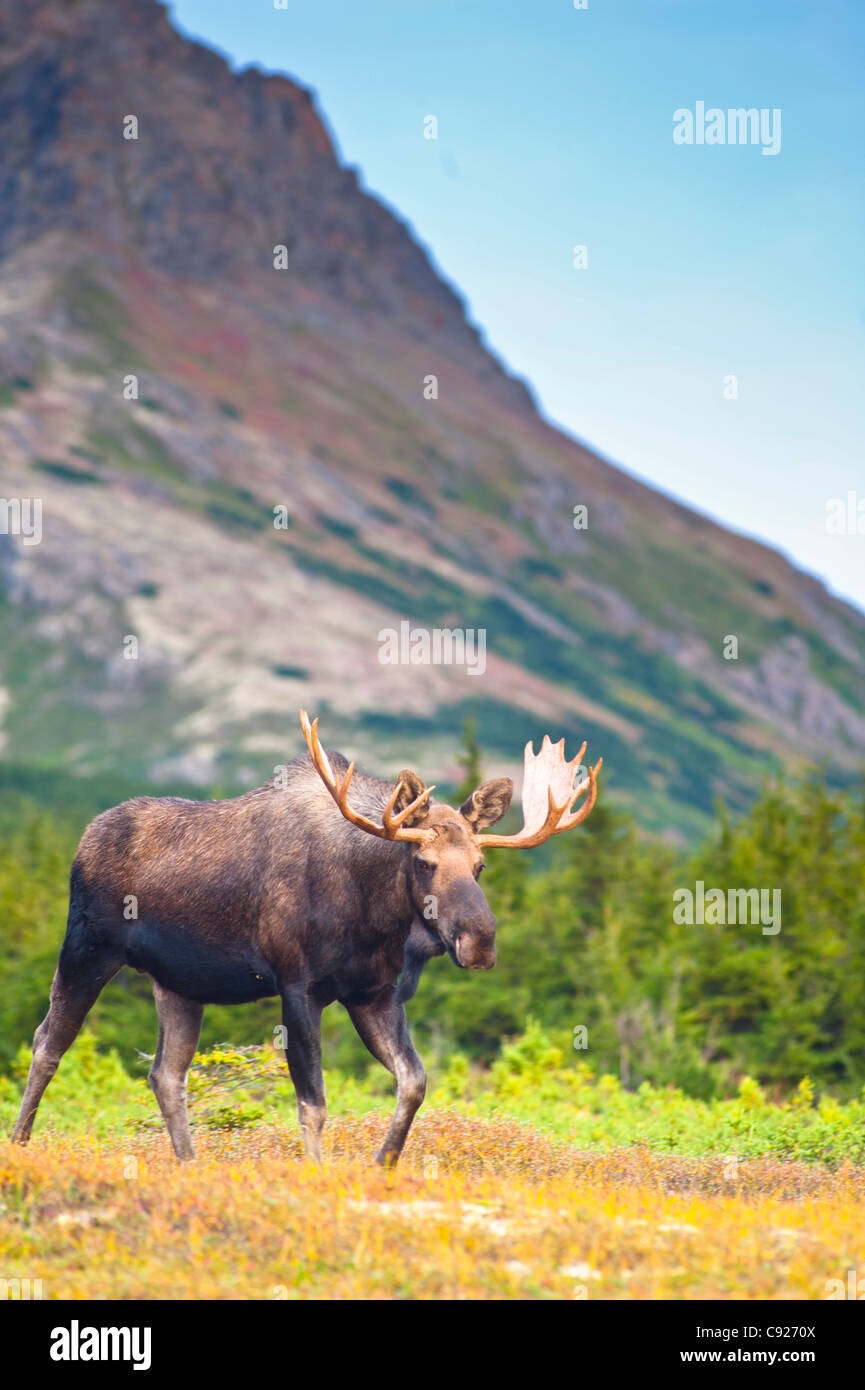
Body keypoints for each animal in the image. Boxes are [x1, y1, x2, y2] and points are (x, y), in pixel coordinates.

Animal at [12, 711, 601, 1167]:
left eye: (480, 866)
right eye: (424, 862)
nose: (480, 943)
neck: (372, 916)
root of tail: (83, 839)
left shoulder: (372, 994)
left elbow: (413, 1081)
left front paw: (383, 1164)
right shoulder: (297, 985)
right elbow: (313, 1103)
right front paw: (319, 1174)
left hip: (178, 982)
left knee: (165, 1073)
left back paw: (189, 1165)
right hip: (88, 947)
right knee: (48, 1042)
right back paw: (20, 1144)